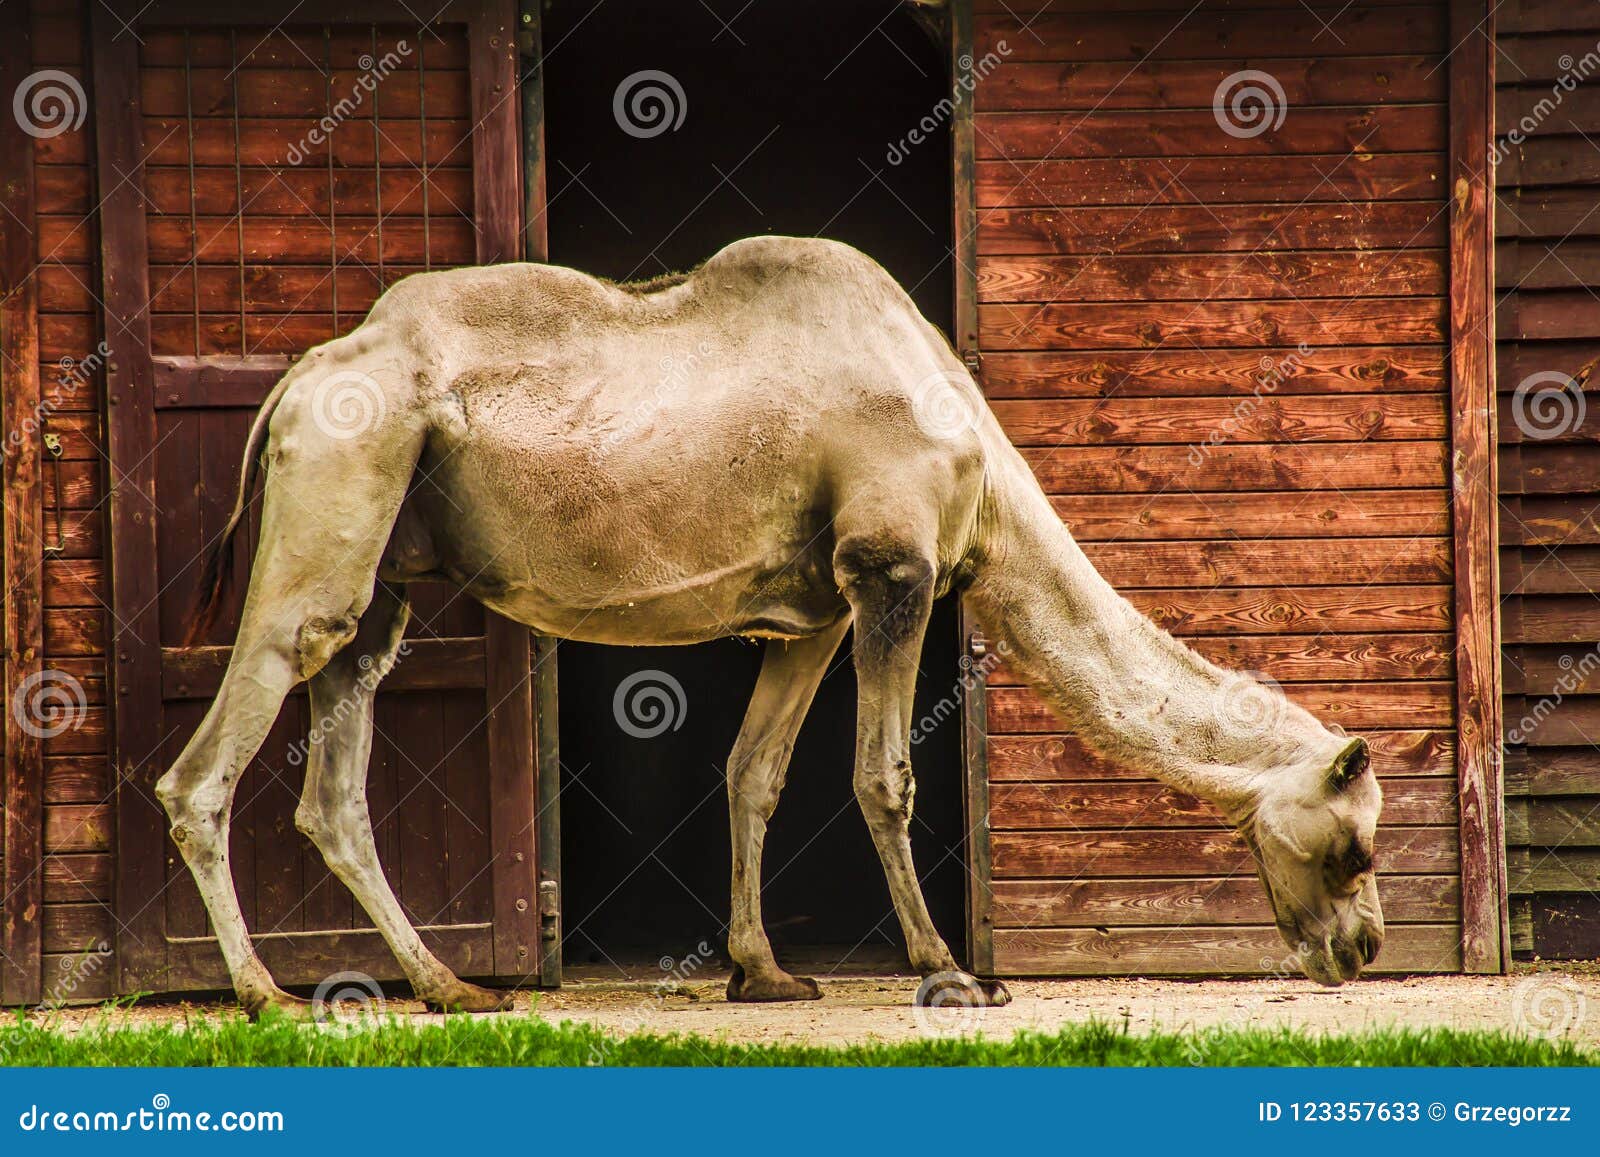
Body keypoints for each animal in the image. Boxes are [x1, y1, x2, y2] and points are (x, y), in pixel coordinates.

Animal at [161, 236, 1384, 1016]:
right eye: (1351, 843)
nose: (1364, 945)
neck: (983, 478)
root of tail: (299, 377)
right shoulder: (892, 566)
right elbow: (883, 775)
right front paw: (954, 971)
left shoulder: (812, 612)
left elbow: (755, 769)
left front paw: (763, 971)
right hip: (340, 476)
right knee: (218, 746)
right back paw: (264, 994)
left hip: (387, 560)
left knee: (337, 768)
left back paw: (448, 987)